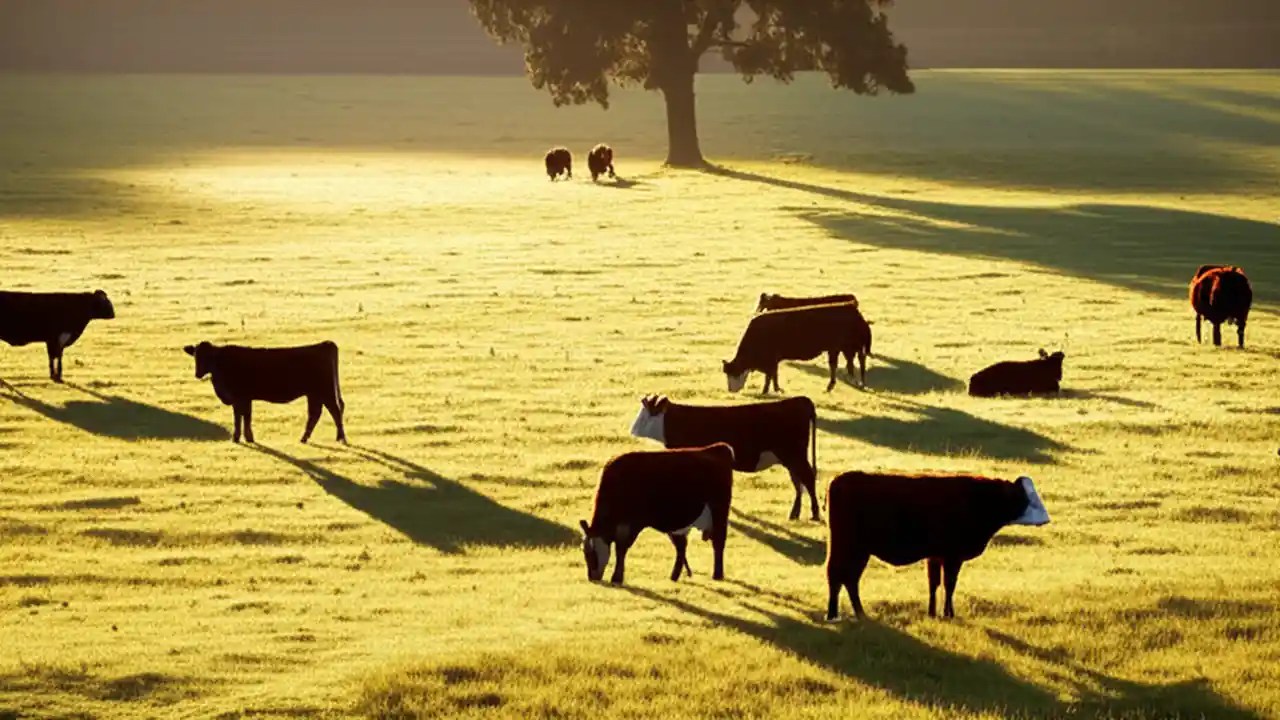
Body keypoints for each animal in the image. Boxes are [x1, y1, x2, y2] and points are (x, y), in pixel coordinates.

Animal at [182, 341, 346, 444]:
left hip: (325, 391)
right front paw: (245, 437)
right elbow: (243, 416)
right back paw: (305, 438)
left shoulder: (240, 397)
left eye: (208, 357)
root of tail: (325, 344)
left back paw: (341, 438)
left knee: (335, 410)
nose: (197, 373)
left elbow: (241, 416)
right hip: (314, 394)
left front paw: (240, 438)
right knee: (316, 413)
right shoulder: (244, 398)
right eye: (195, 356)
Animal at [579, 443, 734, 585]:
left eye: (592, 554)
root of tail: (718, 448)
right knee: (681, 546)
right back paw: (674, 576)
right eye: (584, 552)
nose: (592, 577)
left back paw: (717, 574)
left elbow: (621, 548)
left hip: (719, 510)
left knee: (718, 542)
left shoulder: (634, 522)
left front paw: (617, 578)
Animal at [630, 395, 820, 521]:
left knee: (808, 479)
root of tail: (801, 400)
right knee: (799, 481)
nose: (632, 430)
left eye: (643, 415)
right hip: (791, 458)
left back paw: (815, 514)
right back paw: (795, 514)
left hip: (794, 455)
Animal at [722, 302, 872, 393]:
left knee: (853, 363)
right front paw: (777, 389)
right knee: (849, 363)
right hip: (842, 348)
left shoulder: (770, 359)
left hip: (846, 347)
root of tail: (854, 310)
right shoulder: (774, 360)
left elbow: (769, 375)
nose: (731, 390)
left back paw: (855, 383)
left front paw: (765, 391)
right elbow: (774, 374)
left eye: (734, 373)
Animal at [824, 471, 1049, 620]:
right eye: (1026, 498)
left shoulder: (935, 555)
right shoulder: (952, 556)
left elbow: (934, 583)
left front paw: (932, 612)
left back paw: (857, 613)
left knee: (848, 578)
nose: (1046, 519)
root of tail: (839, 480)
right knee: (838, 575)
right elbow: (949, 584)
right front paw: (948, 613)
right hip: (849, 546)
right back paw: (835, 614)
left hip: (857, 550)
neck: (977, 500)